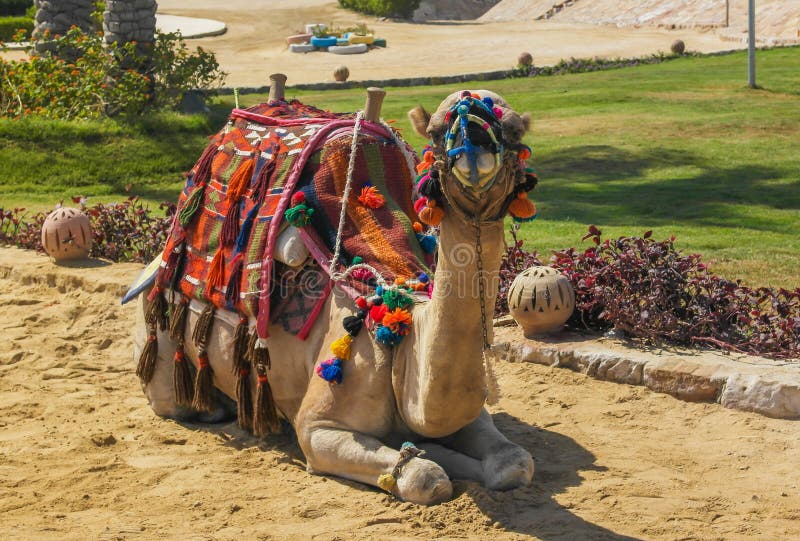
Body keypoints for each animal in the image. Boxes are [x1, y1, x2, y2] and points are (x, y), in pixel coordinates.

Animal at [132, 77, 536, 505]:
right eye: (437, 131)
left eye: (514, 130)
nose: (474, 146)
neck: (400, 332)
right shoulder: (318, 428)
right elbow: (426, 476)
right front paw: (427, 458)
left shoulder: (466, 414)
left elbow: (514, 461)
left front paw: (438, 449)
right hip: (158, 341)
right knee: (170, 398)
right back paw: (210, 409)